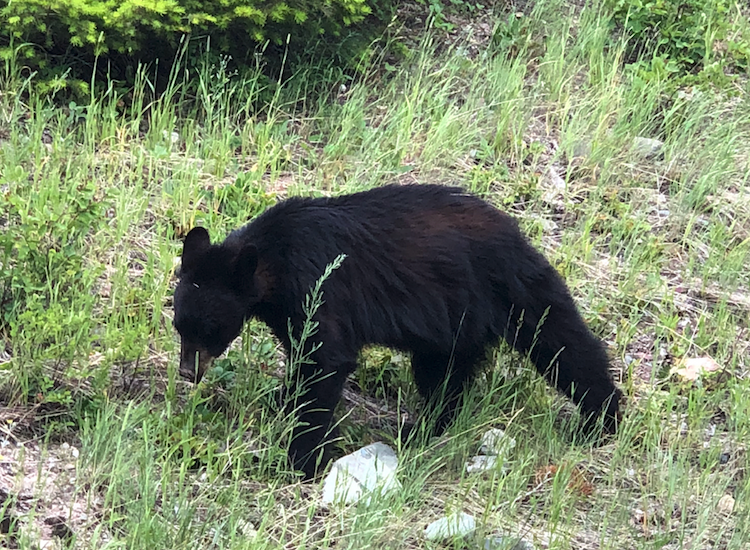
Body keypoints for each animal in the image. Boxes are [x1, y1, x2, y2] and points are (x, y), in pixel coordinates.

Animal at [173, 184, 622, 479]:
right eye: (179, 325)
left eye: (209, 328)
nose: (188, 372)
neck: (272, 262)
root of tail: (520, 234)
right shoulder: (289, 310)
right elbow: (304, 358)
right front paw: (283, 399)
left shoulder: (317, 287)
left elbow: (327, 360)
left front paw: (302, 458)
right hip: (452, 325)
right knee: (445, 379)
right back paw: (425, 429)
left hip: (511, 290)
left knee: (563, 345)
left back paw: (601, 420)